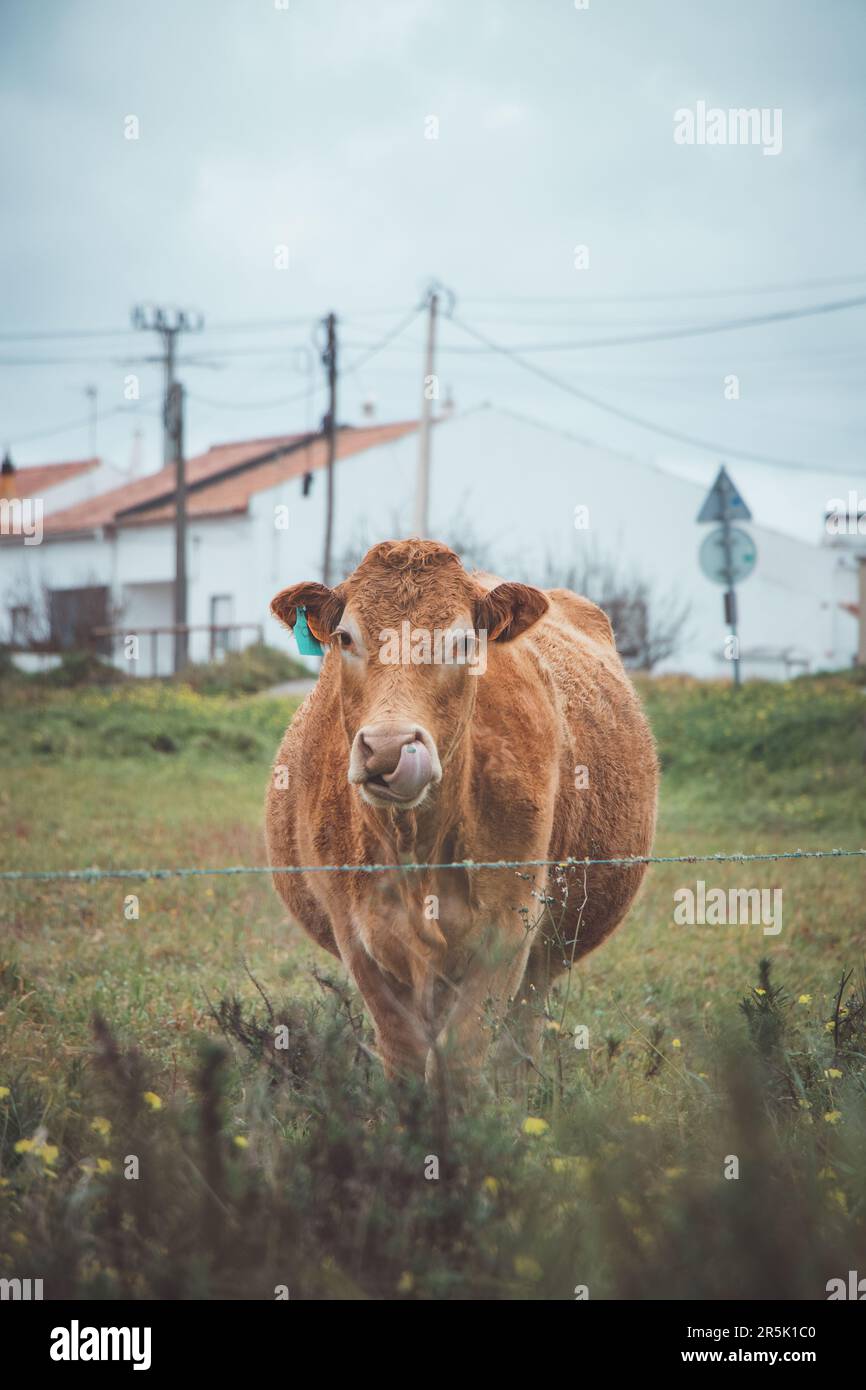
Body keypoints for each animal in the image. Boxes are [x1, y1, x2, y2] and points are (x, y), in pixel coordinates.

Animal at [266, 540, 658, 1086]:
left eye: (463, 642)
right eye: (345, 636)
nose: (389, 748)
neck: (416, 846)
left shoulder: (506, 934)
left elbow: (461, 1059)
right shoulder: (356, 939)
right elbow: (406, 1058)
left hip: (542, 959)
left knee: (519, 1043)